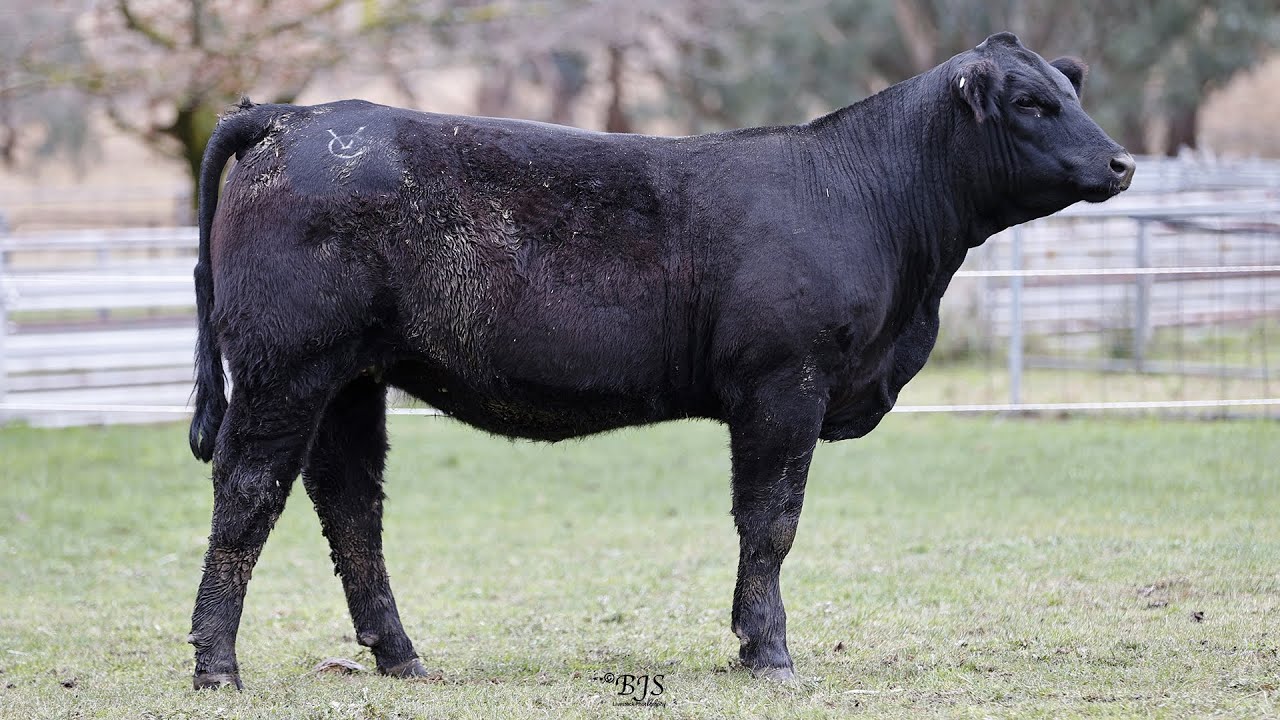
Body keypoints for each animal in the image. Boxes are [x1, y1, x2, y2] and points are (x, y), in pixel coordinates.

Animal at [185, 32, 1134, 689]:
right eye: (1029, 102)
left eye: (1069, 91)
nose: (1122, 161)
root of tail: (294, 116)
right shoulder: (784, 384)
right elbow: (771, 522)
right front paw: (769, 652)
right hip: (286, 366)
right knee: (249, 492)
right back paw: (216, 667)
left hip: (351, 378)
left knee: (351, 507)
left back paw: (402, 657)